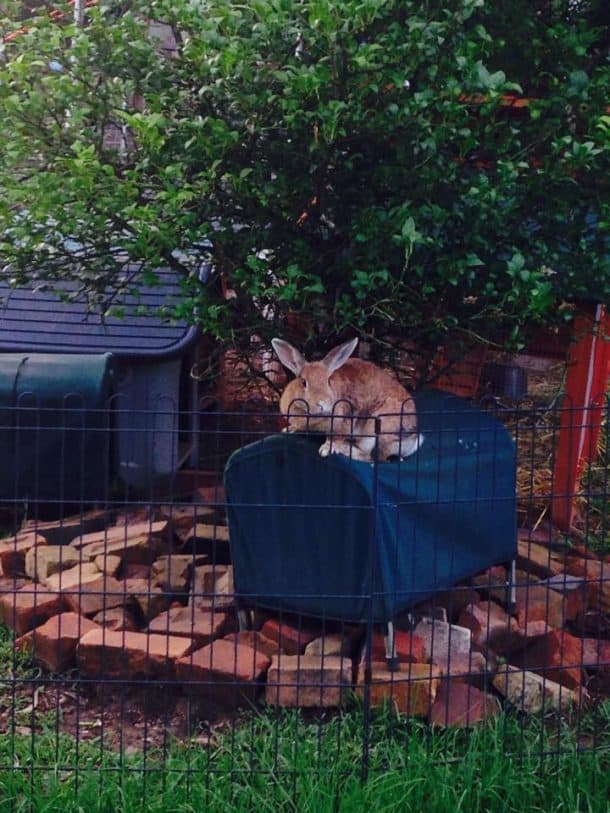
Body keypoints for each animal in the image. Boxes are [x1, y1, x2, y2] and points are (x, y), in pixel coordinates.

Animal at [271, 337, 423, 462]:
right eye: (303, 382)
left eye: (328, 381)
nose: (321, 404)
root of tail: (412, 439)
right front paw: (289, 429)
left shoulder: (344, 420)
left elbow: (336, 437)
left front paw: (327, 448)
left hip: (378, 427)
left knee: (375, 459)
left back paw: (346, 450)